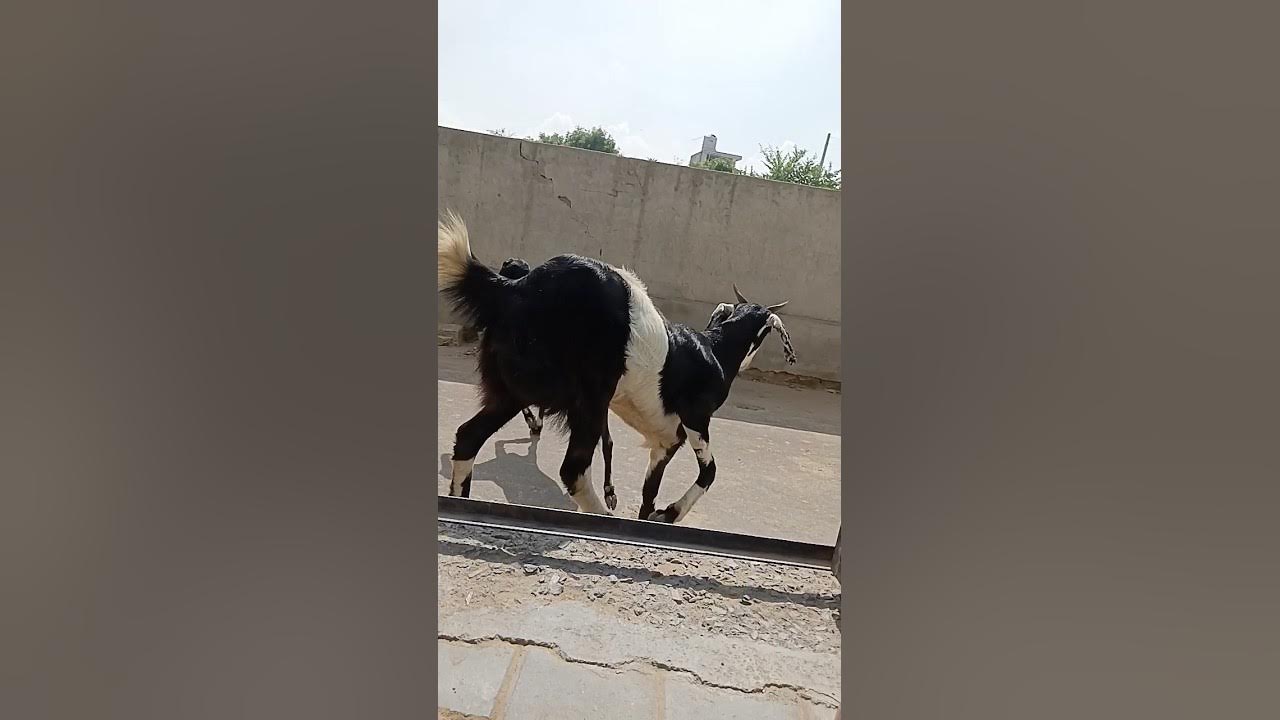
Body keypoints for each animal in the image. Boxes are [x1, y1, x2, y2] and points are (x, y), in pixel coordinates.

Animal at [438, 210, 795, 521]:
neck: (716, 349)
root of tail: (517, 288)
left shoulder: (666, 440)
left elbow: (649, 492)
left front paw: (652, 515)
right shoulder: (695, 420)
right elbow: (709, 471)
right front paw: (670, 513)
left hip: (515, 390)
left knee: (469, 437)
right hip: (589, 397)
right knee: (574, 469)